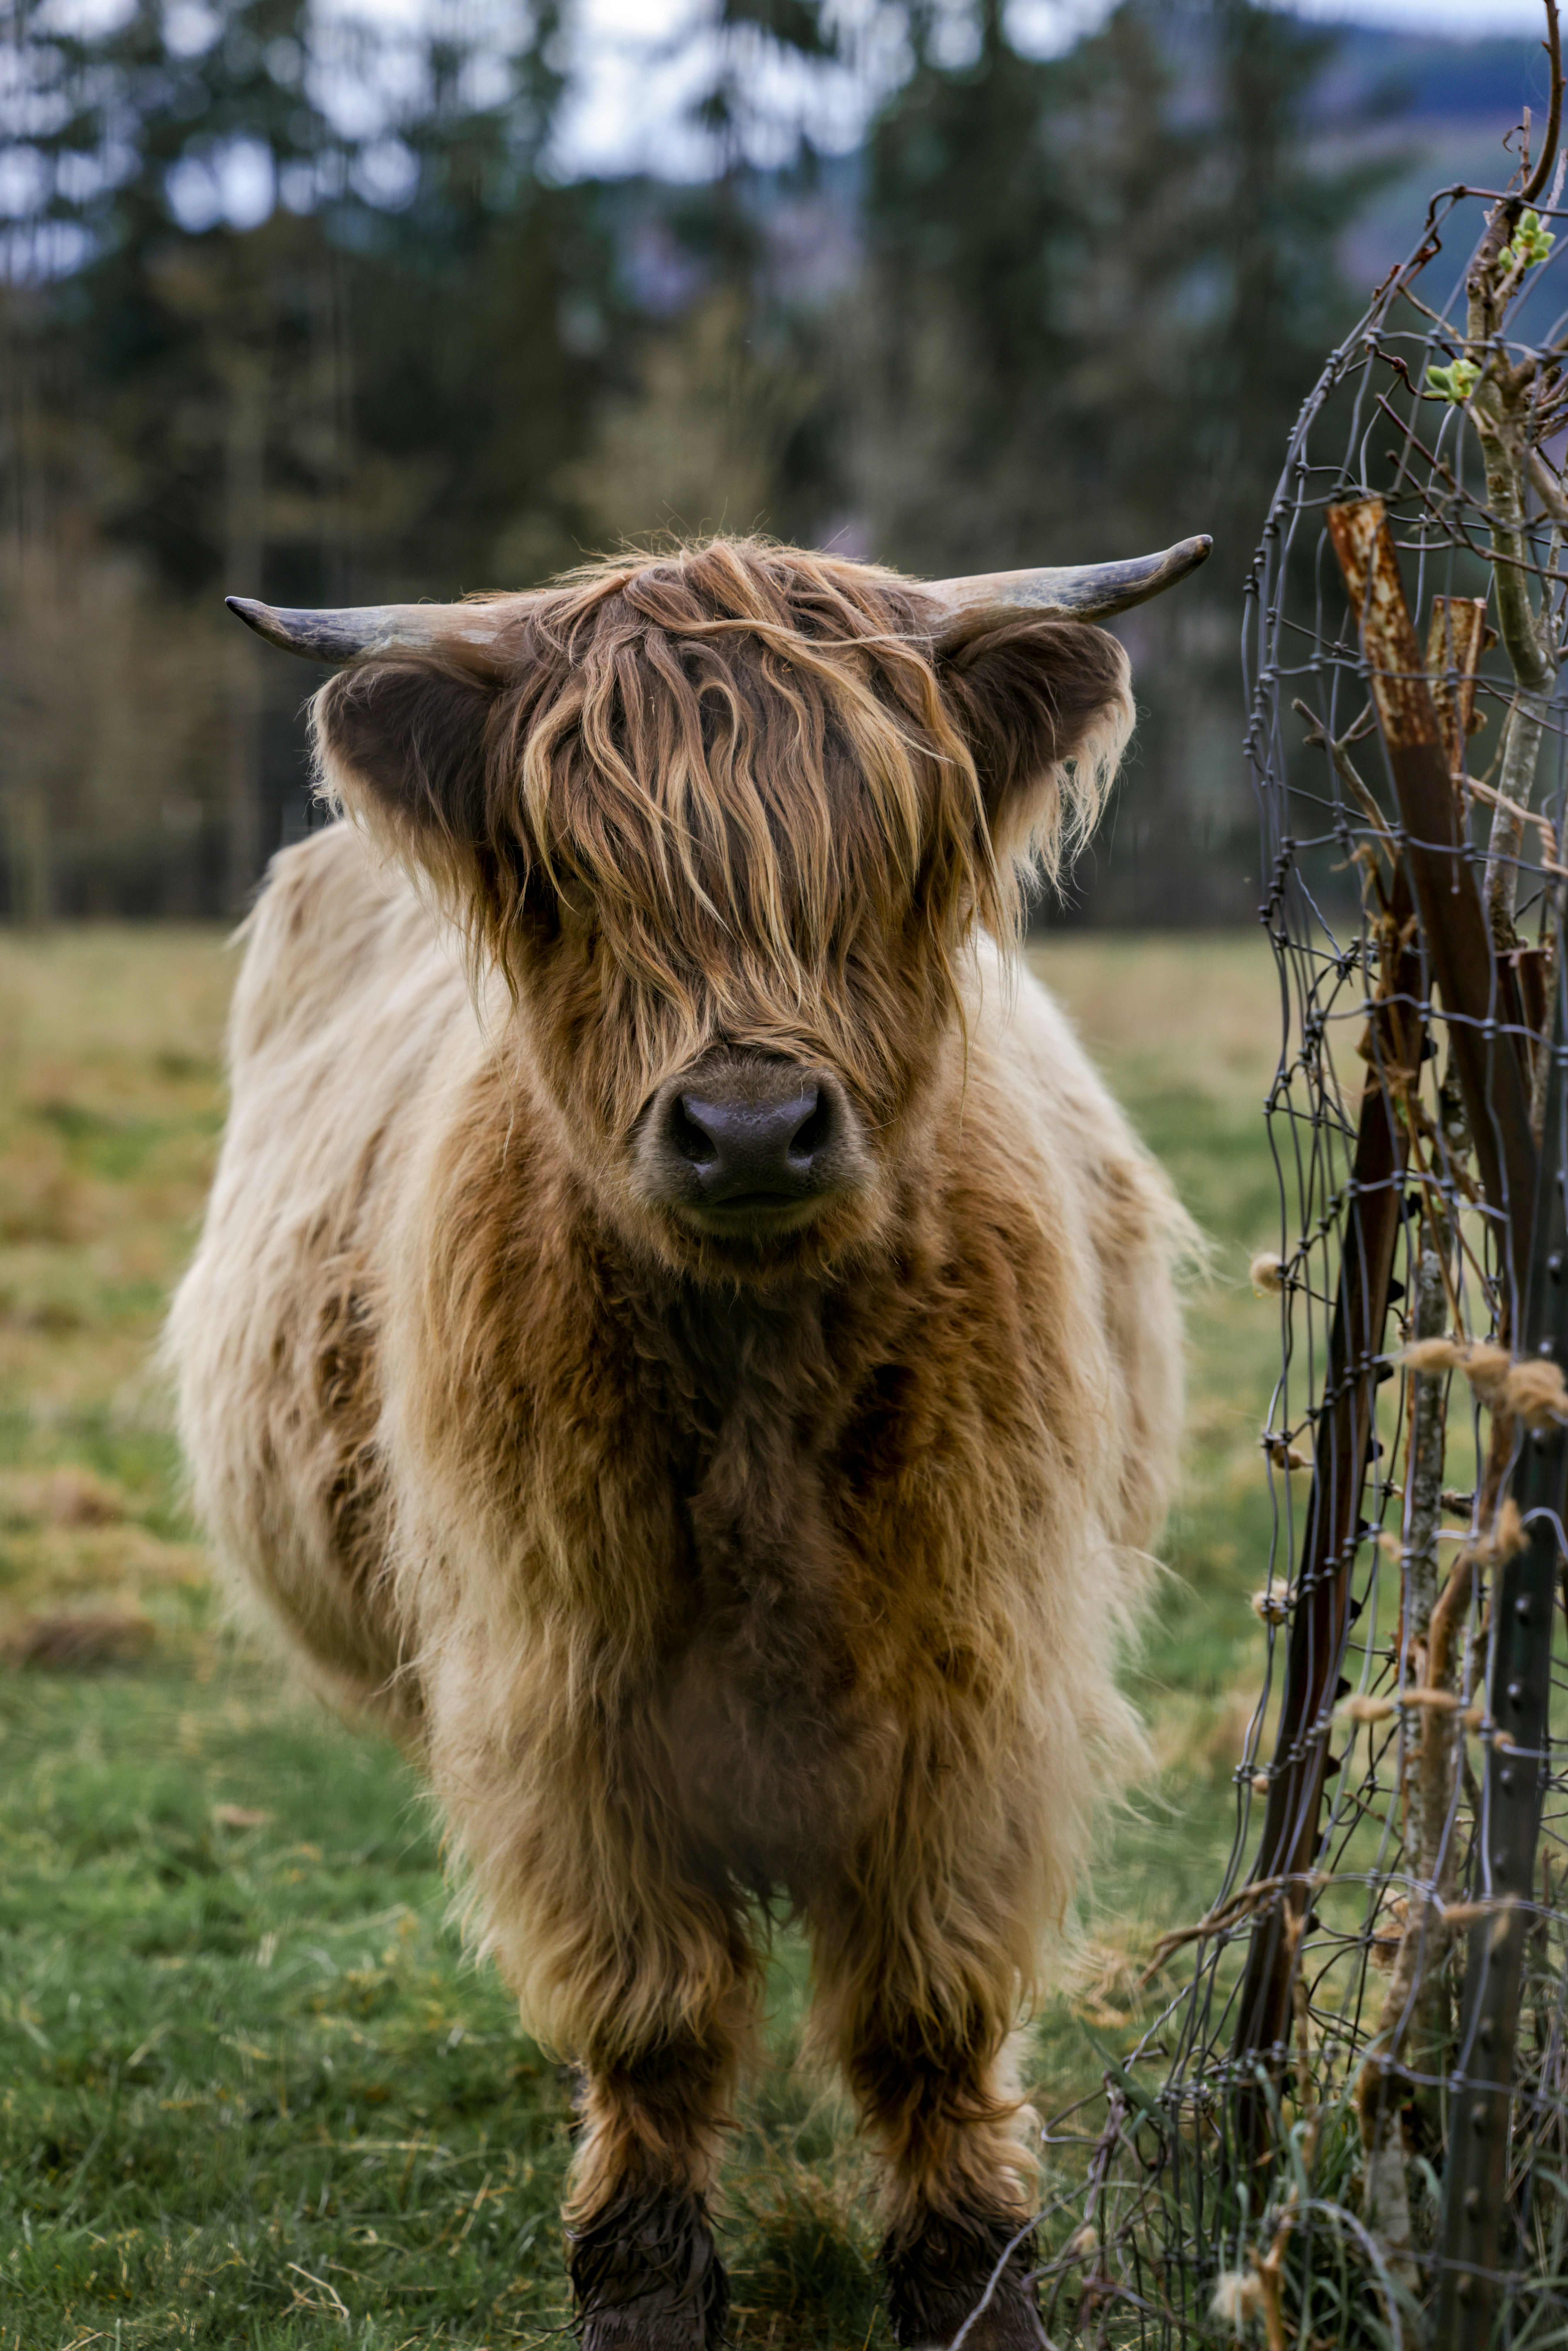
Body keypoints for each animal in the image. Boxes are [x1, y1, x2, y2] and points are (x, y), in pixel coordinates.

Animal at [167, 532, 1206, 2350]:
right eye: (572, 877)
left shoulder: (976, 1699)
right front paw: (641, 2283)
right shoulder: (565, 1707)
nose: (748, 1127)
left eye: (889, 855)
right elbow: (653, 2019)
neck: (762, 1396)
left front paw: (971, 2277)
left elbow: (928, 2018)